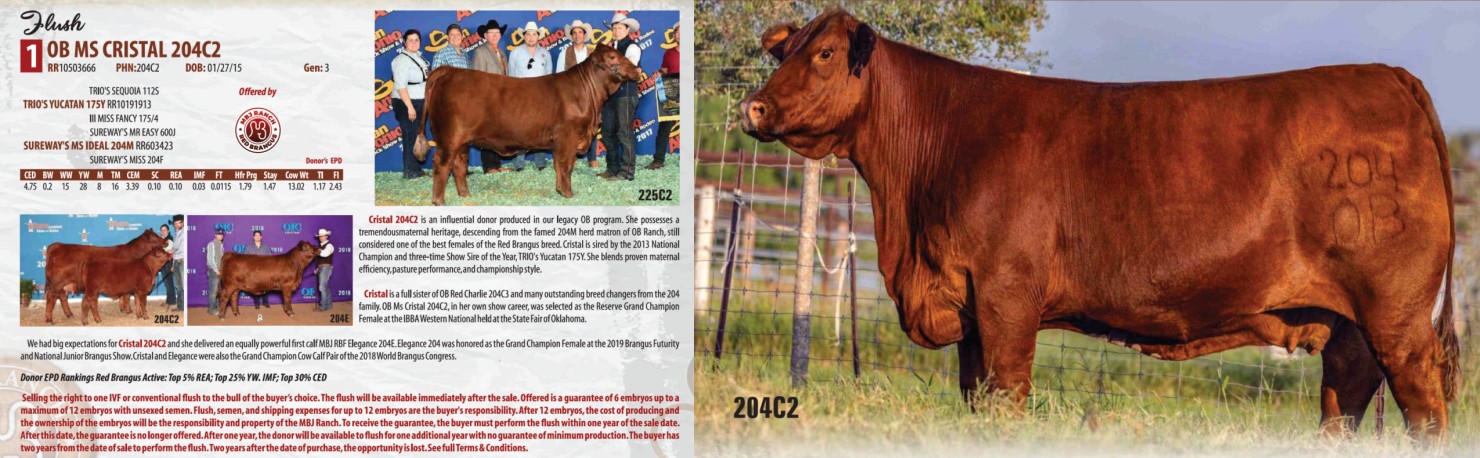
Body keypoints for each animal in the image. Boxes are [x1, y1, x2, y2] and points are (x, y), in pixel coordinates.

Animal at [412, 44, 644, 205]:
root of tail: (448, 71)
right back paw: (439, 201)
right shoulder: (568, 137)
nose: (637, 70)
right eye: (613, 57)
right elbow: (566, 166)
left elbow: (559, 166)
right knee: (441, 164)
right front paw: (568, 193)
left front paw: (559, 190)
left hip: (463, 141)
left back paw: (465, 195)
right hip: (449, 137)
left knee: (459, 165)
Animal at [739, 8, 1458, 443]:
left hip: (1396, 314)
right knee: (1345, 402)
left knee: (1425, 413)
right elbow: (975, 399)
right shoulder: (970, 306)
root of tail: (1390, 75)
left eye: (825, 53)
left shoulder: (1007, 296)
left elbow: (1007, 397)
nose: (754, 106)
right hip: (1350, 325)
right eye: (786, 51)